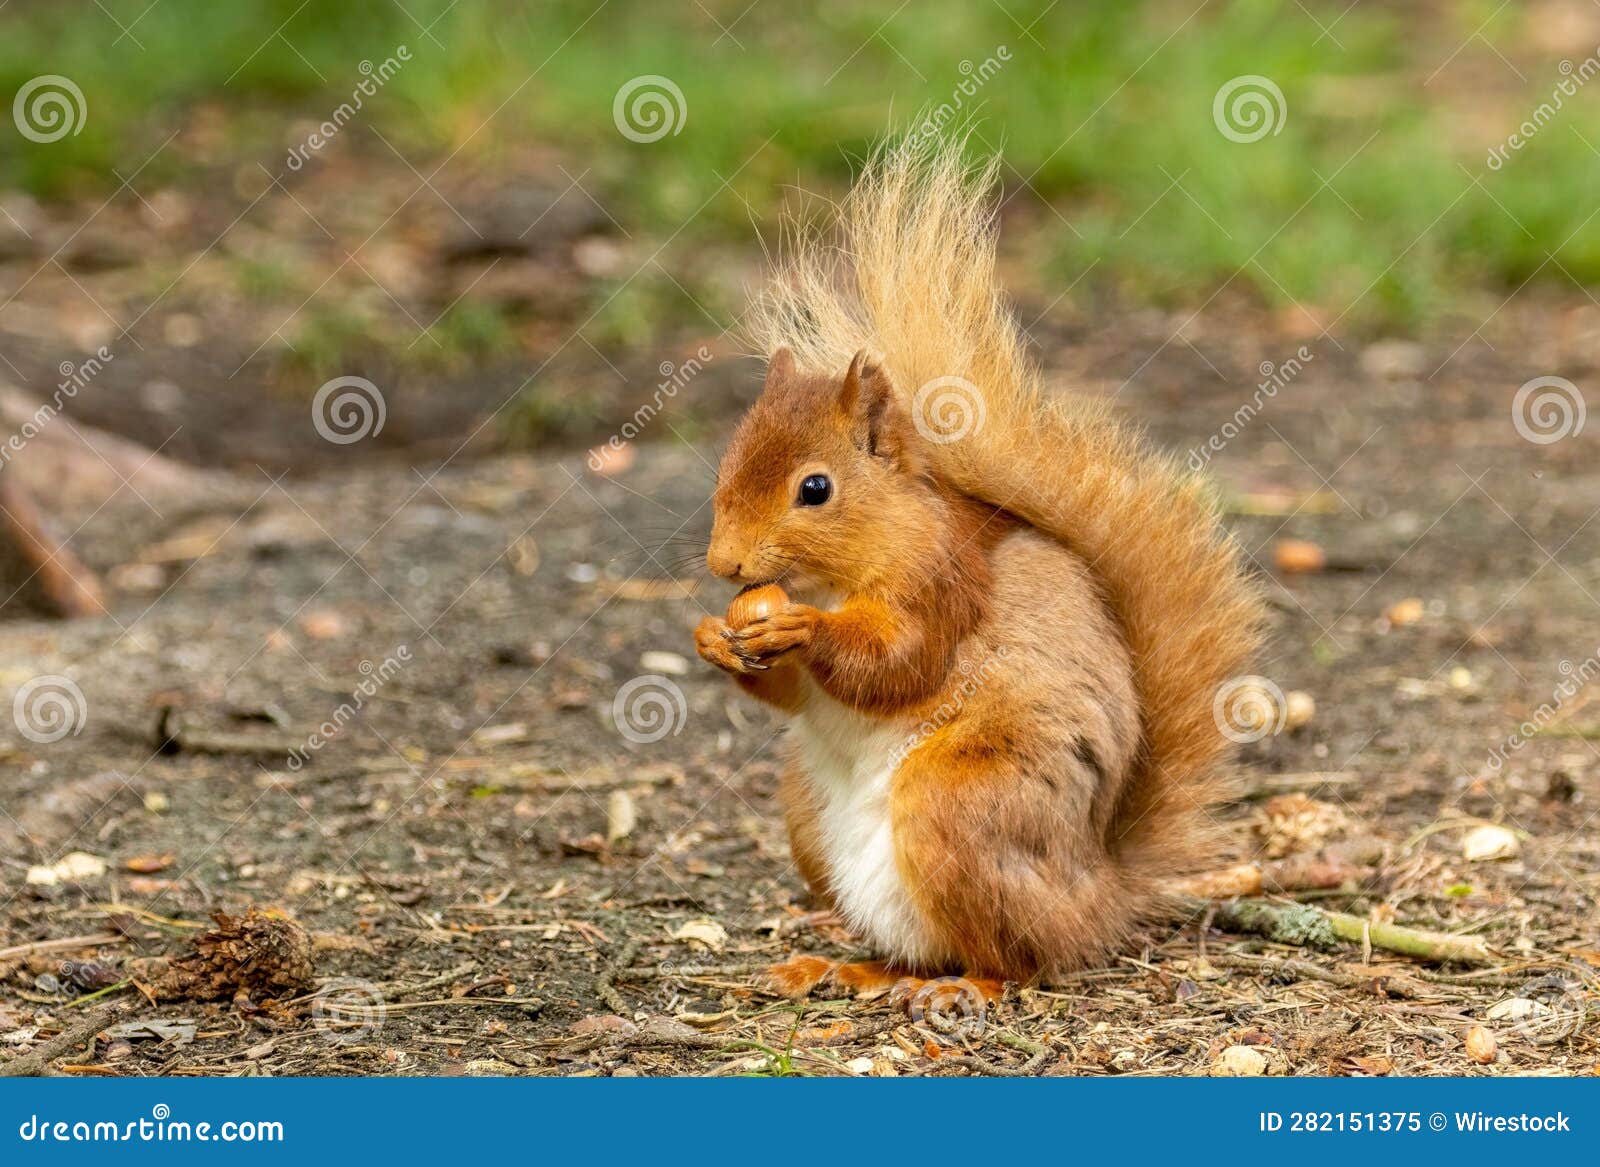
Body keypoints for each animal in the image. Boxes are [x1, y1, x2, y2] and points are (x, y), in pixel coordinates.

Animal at [692, 136, 1264, 994]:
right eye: (724, 466)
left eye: (815, 488)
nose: (724, 564)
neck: (835, 574)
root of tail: (1097, 890)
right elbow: (792, 695)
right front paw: (711, 637)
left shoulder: (941, 575)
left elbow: (900, 661)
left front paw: (801, 627)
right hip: (806, 816)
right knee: (911, 945)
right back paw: (844, 966)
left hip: (958, 805)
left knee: (1018, 957)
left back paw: (962, 987)